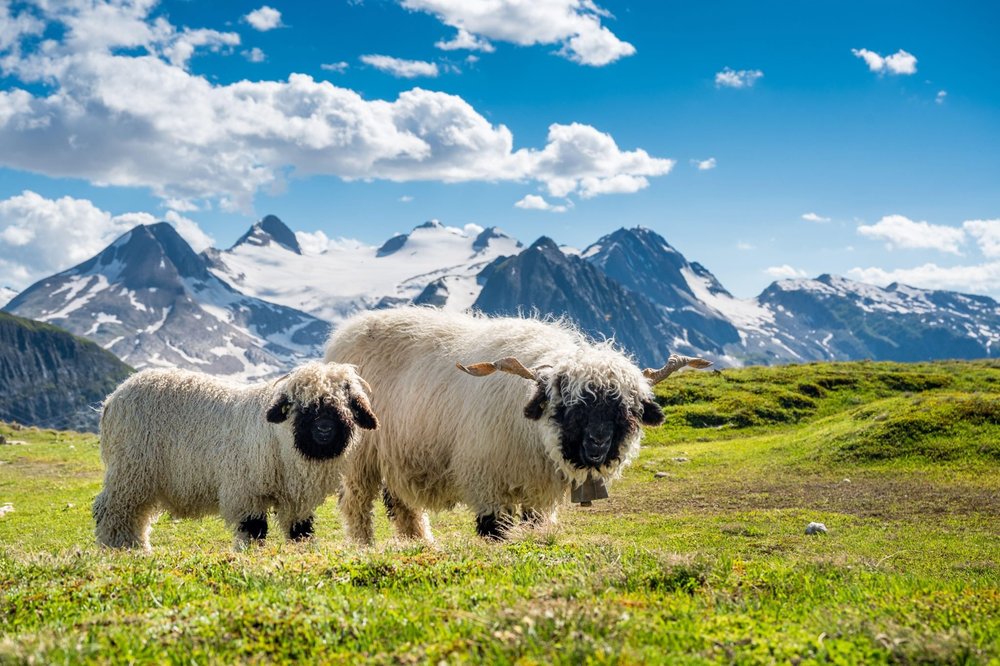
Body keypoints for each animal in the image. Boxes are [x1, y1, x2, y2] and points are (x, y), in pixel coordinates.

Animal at [92, 361, 378, 551]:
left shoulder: (297, 498)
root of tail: (112, 399)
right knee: (112, 508)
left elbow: (300, 529)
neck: (281, 440)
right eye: (301, 405)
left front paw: (302, 550)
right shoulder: (245, 490)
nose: (324, 429)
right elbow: (254, 529)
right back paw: (122, 548)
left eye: (346, 401)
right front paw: (251, 554)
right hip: (131, 469)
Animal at [323, 308, 709, 544]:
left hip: (398, 454)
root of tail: (344, 333)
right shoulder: (487, 480)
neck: (534, 433)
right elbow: (495, 530)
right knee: (357, 505)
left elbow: (534, 524)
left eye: (624, 410)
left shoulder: (537, 491)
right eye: (568, 408)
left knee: (403, 506)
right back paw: (366, 547)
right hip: (359, 457)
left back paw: (420, 544)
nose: (597, 444)